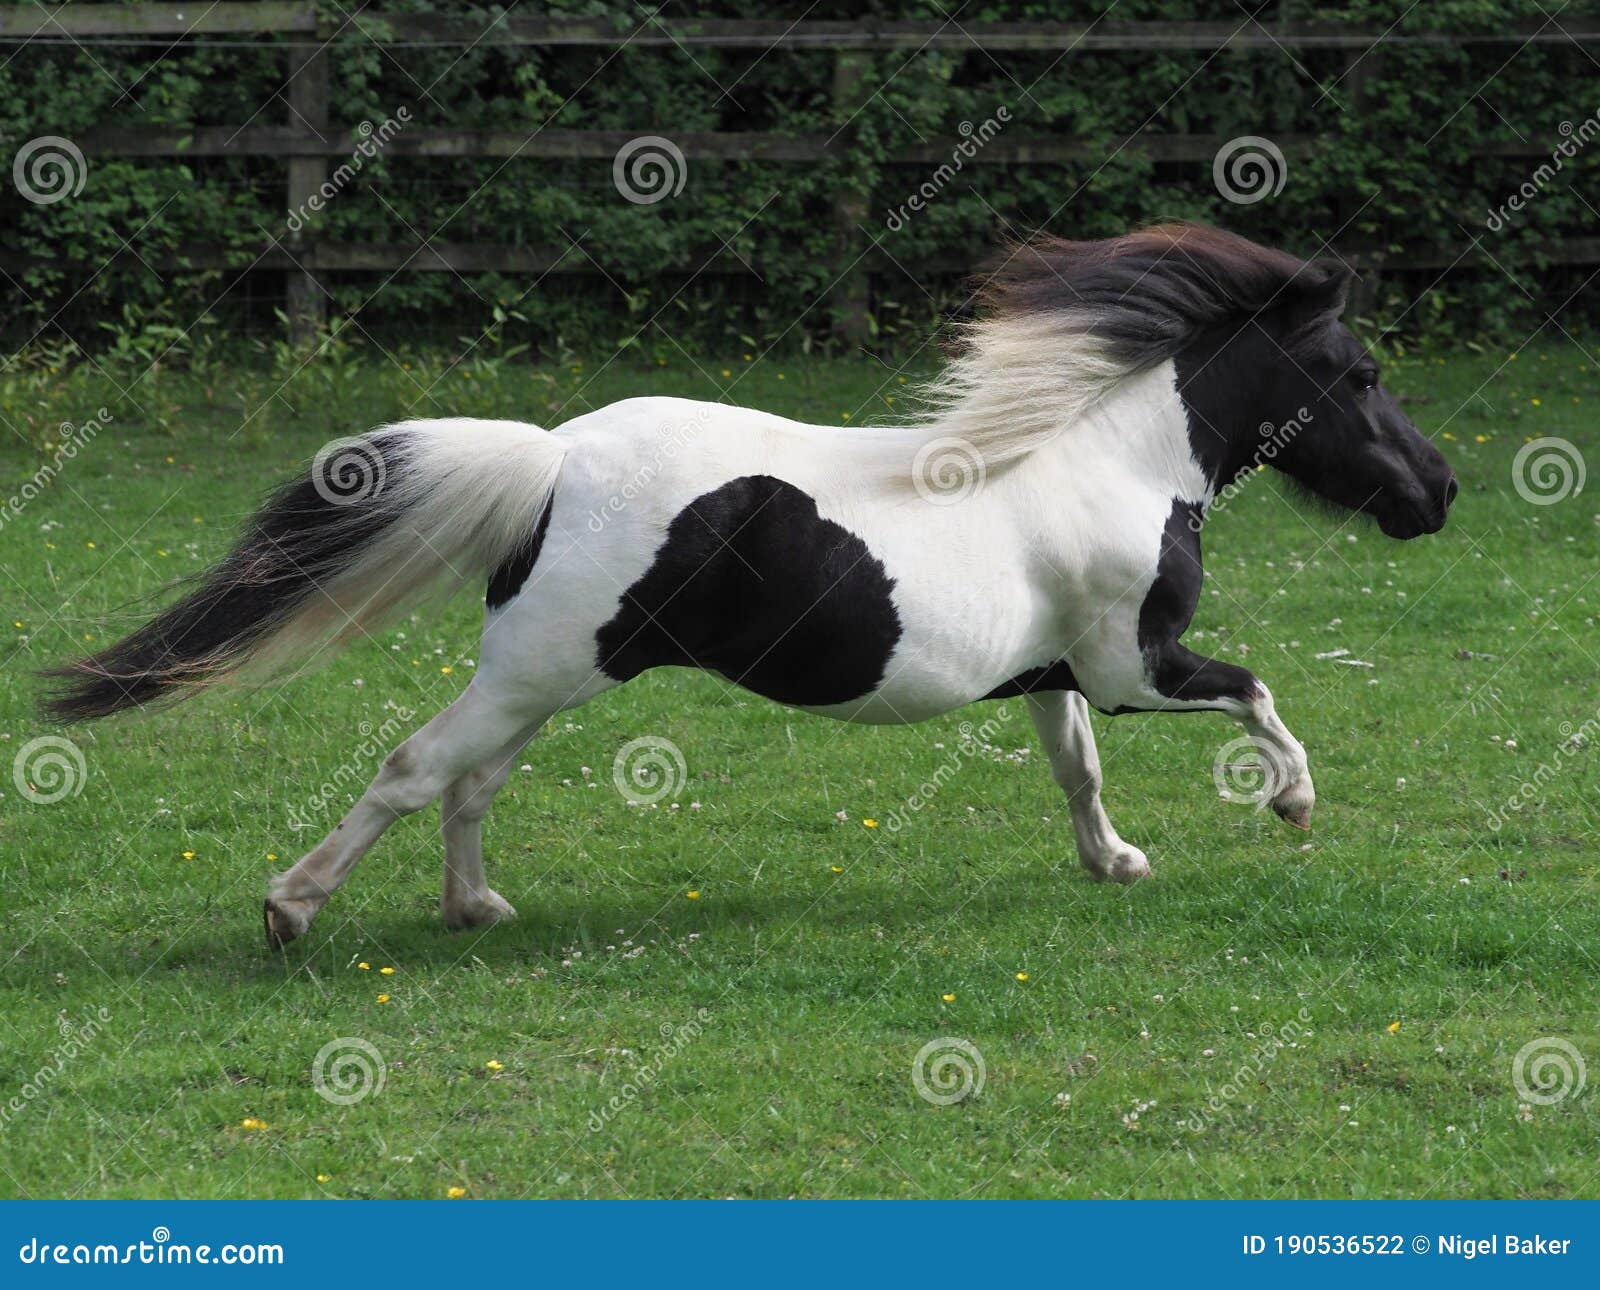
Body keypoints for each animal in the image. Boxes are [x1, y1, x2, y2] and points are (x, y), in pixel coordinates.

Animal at [43, 223, 1457, 947]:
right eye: (1363, 372)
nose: (1437, 494)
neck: (1112, 462)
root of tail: (552, 457)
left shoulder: (1053, 673)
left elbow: (1075, 773)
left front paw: (1113, 862)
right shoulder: (1130, 667)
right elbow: (1255, 693)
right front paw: (1291, 802)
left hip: (548, 674)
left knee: (468, 782)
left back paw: (475, 905)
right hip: (538, 671)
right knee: (411, 768)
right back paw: (292, 908)